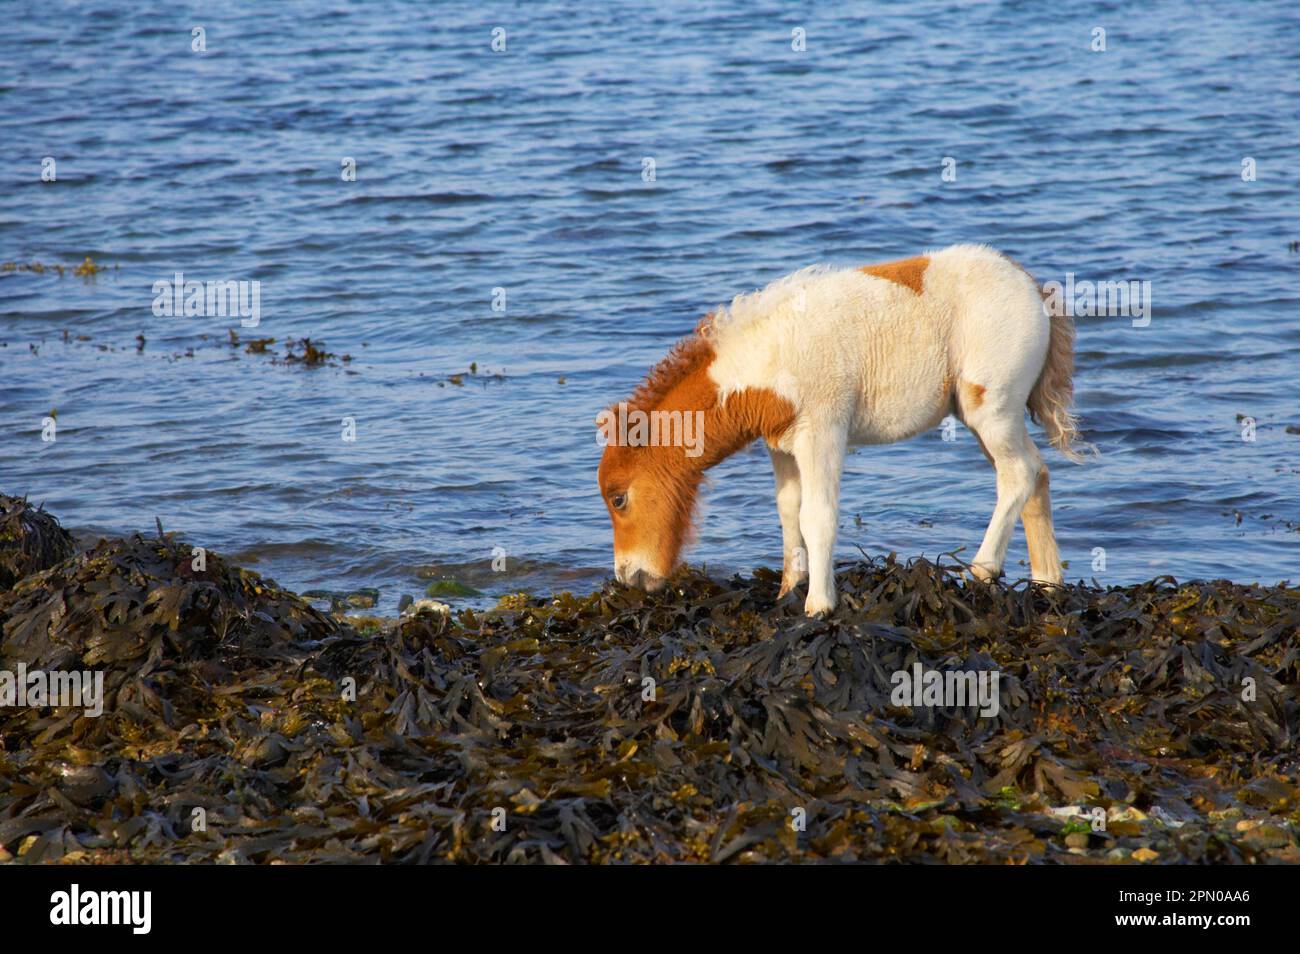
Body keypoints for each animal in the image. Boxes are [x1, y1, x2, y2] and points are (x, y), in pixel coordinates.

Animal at [596, 244, 1092, 617]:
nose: (629, 577)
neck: (768, 360)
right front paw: (787, 591)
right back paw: (1048, 585)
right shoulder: (782, 445)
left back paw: (984, 568)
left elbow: (818, 515)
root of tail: (1033, 286)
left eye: (619, 499)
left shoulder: (823, 431)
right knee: (1036, 474)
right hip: (984, 418)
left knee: (1019, 474)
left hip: (991, 409)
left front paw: (818, 605)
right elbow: (788, 510)